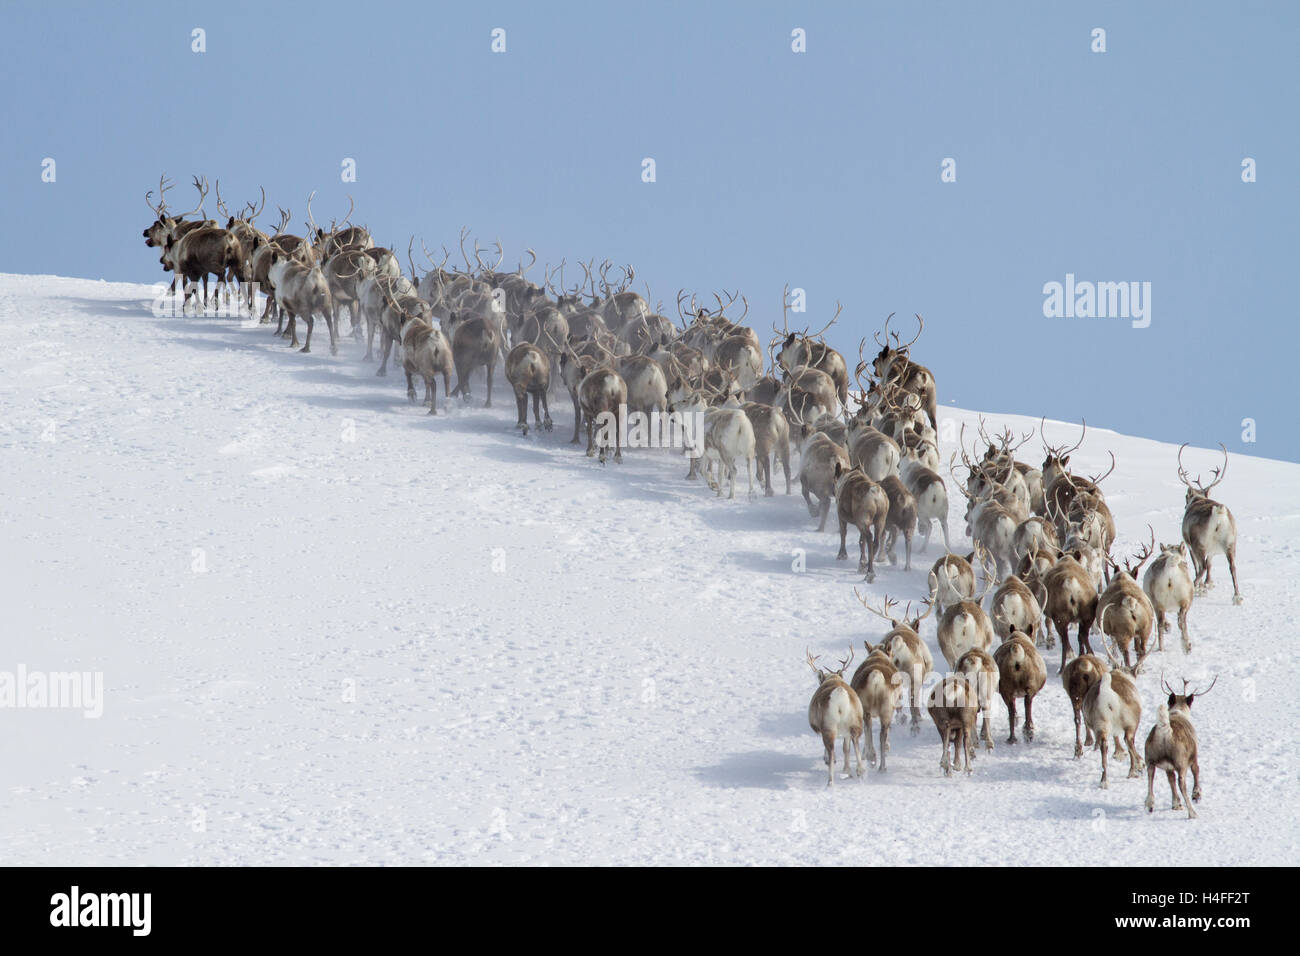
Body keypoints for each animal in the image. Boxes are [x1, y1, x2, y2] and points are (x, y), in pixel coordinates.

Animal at [807, 648, 865, 785]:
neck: (832, 678)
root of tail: (839, 695)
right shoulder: (846, 733)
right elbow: (846, 748)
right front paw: (847, 771)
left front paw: (827, 760)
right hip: (855, 723)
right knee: (856, 742)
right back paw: (859, 773)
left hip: (829, 726)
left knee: (831, 749)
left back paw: (830, 781)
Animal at [1145, 675, 1215, 818]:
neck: (1178, 711)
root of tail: (1165, 730)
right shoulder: (1193, 757)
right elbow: (1196, 772)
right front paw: (1196, 795)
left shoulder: (1168, 767)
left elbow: (1170, 781)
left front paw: (1176, 804)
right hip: (1181, 762)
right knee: (1182, 783)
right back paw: (1192, 812)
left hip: (1150, 759)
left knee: (1150, 776)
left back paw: (1150, 804)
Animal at [1177, 443, 1242, 605]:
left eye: (1186, 496)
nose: (1185, 505)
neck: (1199, 498)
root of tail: (1219, 513)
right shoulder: (1212, 550)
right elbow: (1211, 563)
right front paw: (1208, 584)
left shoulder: (1189, 545)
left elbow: (1198, 565)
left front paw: (1203, 588)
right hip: (1231, 543)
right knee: (1232, 567)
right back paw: (1237, 597)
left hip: (1199, 544)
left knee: (1202, 567)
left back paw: (1194, 586)